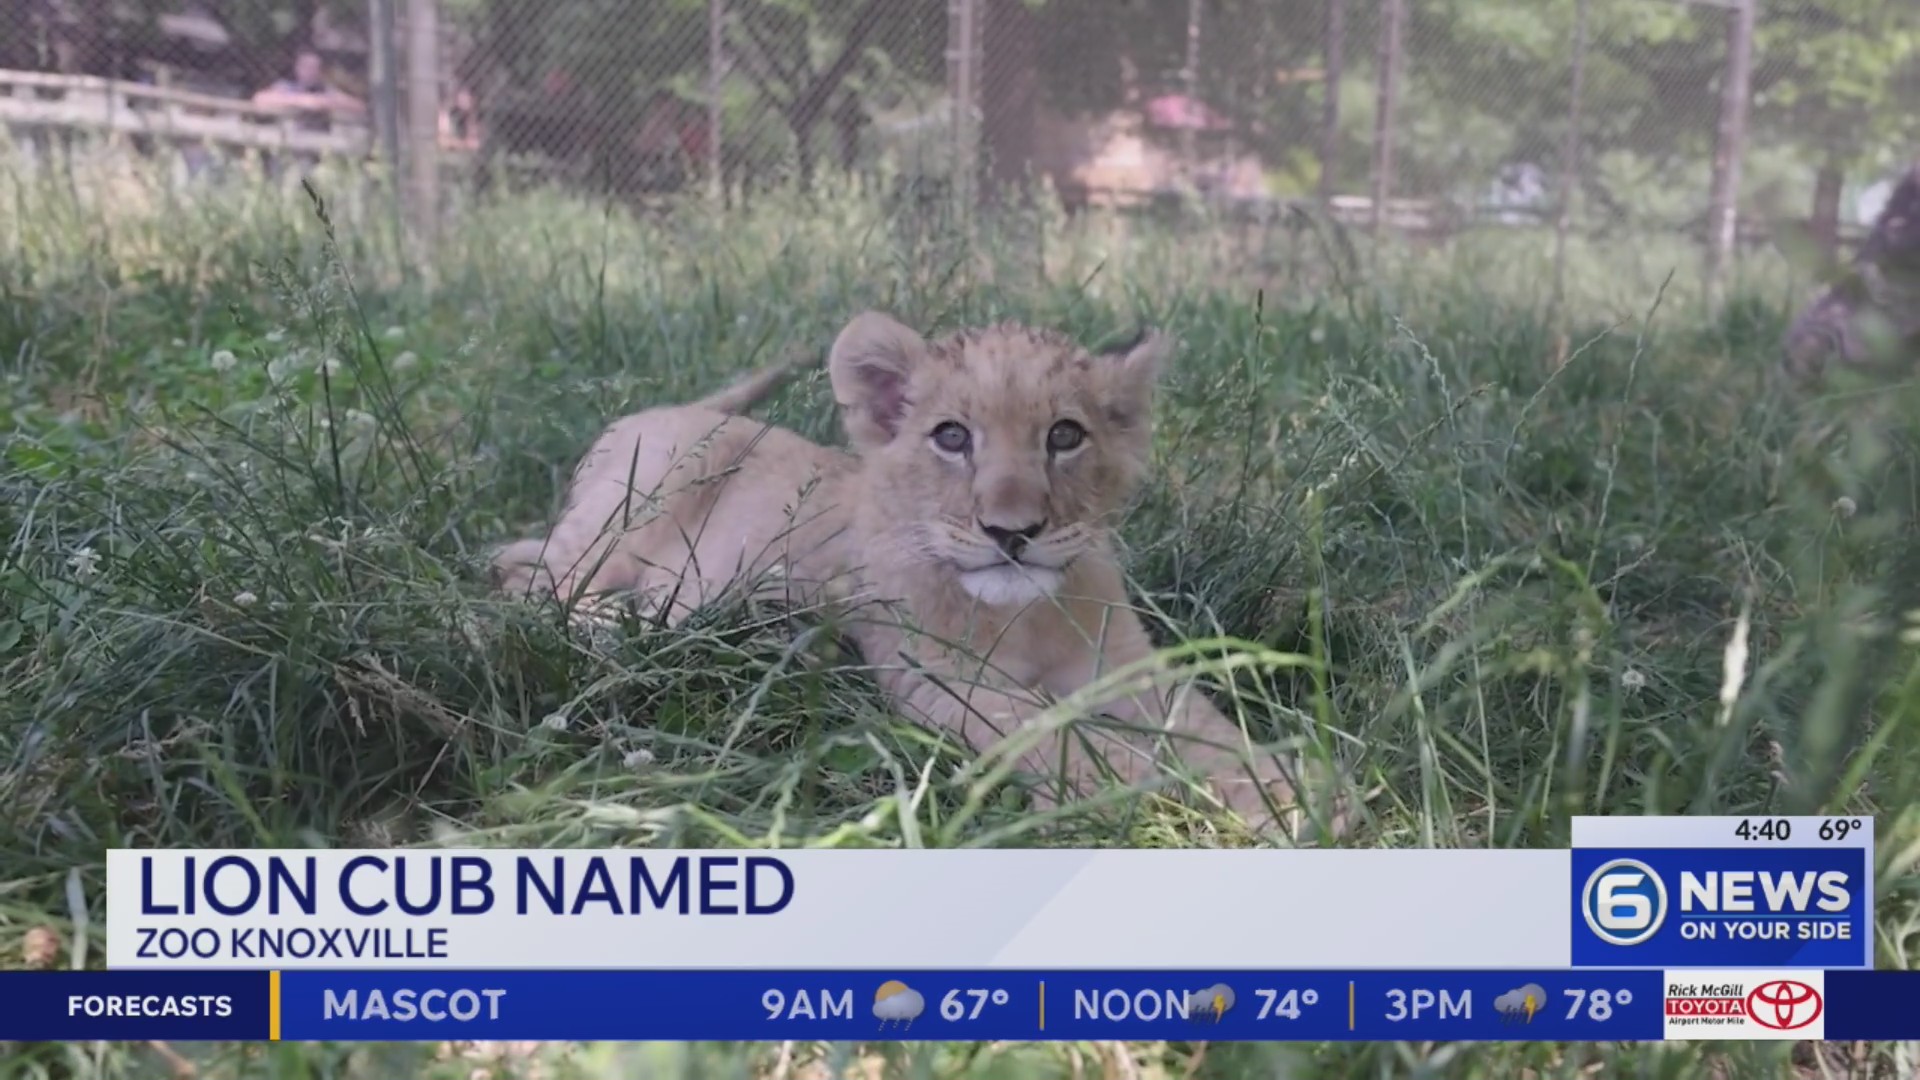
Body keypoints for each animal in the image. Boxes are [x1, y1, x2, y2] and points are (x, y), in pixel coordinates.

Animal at [494, 312, 1324, 835]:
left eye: (1065, 436)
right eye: (951, 437)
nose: (1012, 532)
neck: (1021, 614)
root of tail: (665, 408)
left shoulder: (1124, 666)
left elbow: (1206, 725)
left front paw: (1298, 798)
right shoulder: (931, 676)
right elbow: (1047, 729)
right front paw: (1148, 793)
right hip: (652, 489)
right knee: (531, 586)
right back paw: (640, 626)